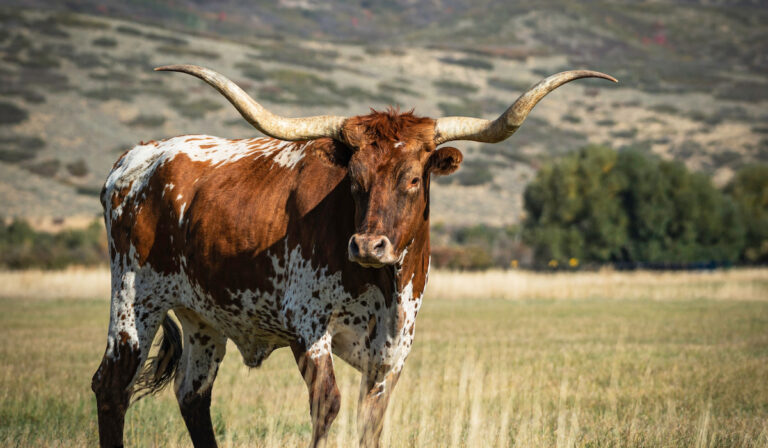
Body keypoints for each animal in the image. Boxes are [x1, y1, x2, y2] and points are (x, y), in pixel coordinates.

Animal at [92, 64, 615, 448]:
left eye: (413, 178)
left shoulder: (394, 349)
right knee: (111, 387)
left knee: (193, 397)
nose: (367, 246)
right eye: (355, 179)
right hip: (135, 302)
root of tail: (137, 156)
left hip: (203, 318)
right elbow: (327, 408)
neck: (383, 284)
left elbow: (371, 421)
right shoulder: (308, 325)